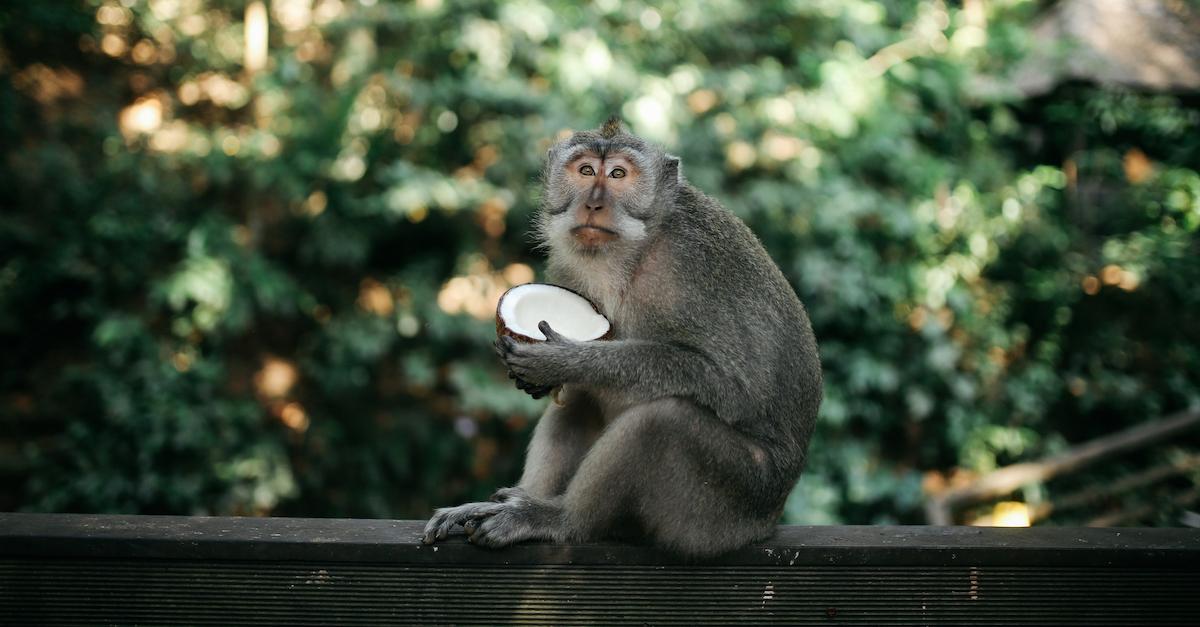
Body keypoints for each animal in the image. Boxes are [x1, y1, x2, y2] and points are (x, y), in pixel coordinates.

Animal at [423, 117, 822, 557]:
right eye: (585, 171)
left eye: (618, 174)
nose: (594, 204)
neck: (633, 250)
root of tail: (768, 521)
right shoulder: (566, 266)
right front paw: (537, 380)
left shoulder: (695, 265)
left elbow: (732, 387)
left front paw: (566, 360)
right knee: (581, 402)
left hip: (725, 509)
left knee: (661, 422)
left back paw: (557, 519)